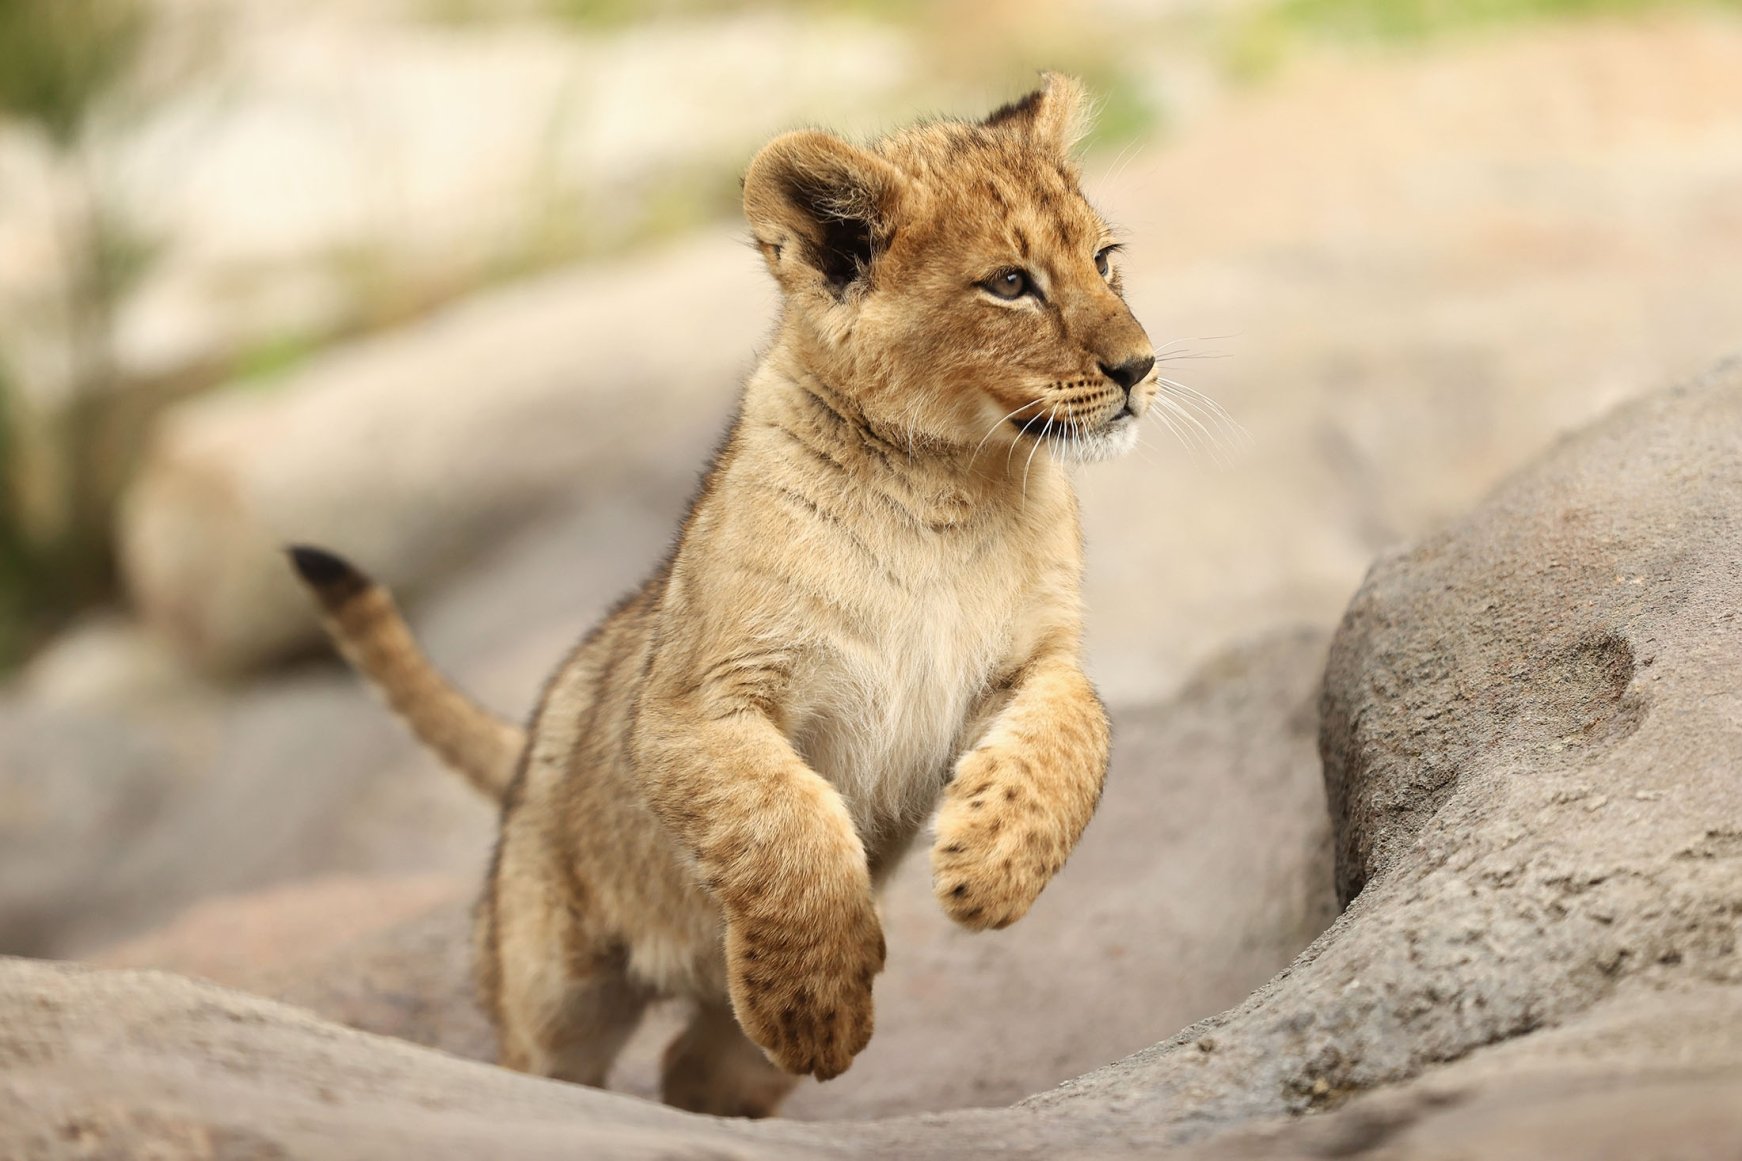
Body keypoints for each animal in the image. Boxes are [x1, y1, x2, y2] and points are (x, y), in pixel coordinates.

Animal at [290, 72, 1157, 1117]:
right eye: (1011, 283)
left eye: (1105, 260)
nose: (1140, 367)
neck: (946, 487)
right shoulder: (693, 701)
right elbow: (789, 822)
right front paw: (817, 1007)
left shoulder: (1033, 657)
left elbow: (1081, 724)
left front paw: (991, 868)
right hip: (552, 977)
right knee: (544, 1060)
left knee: (695, 1065)